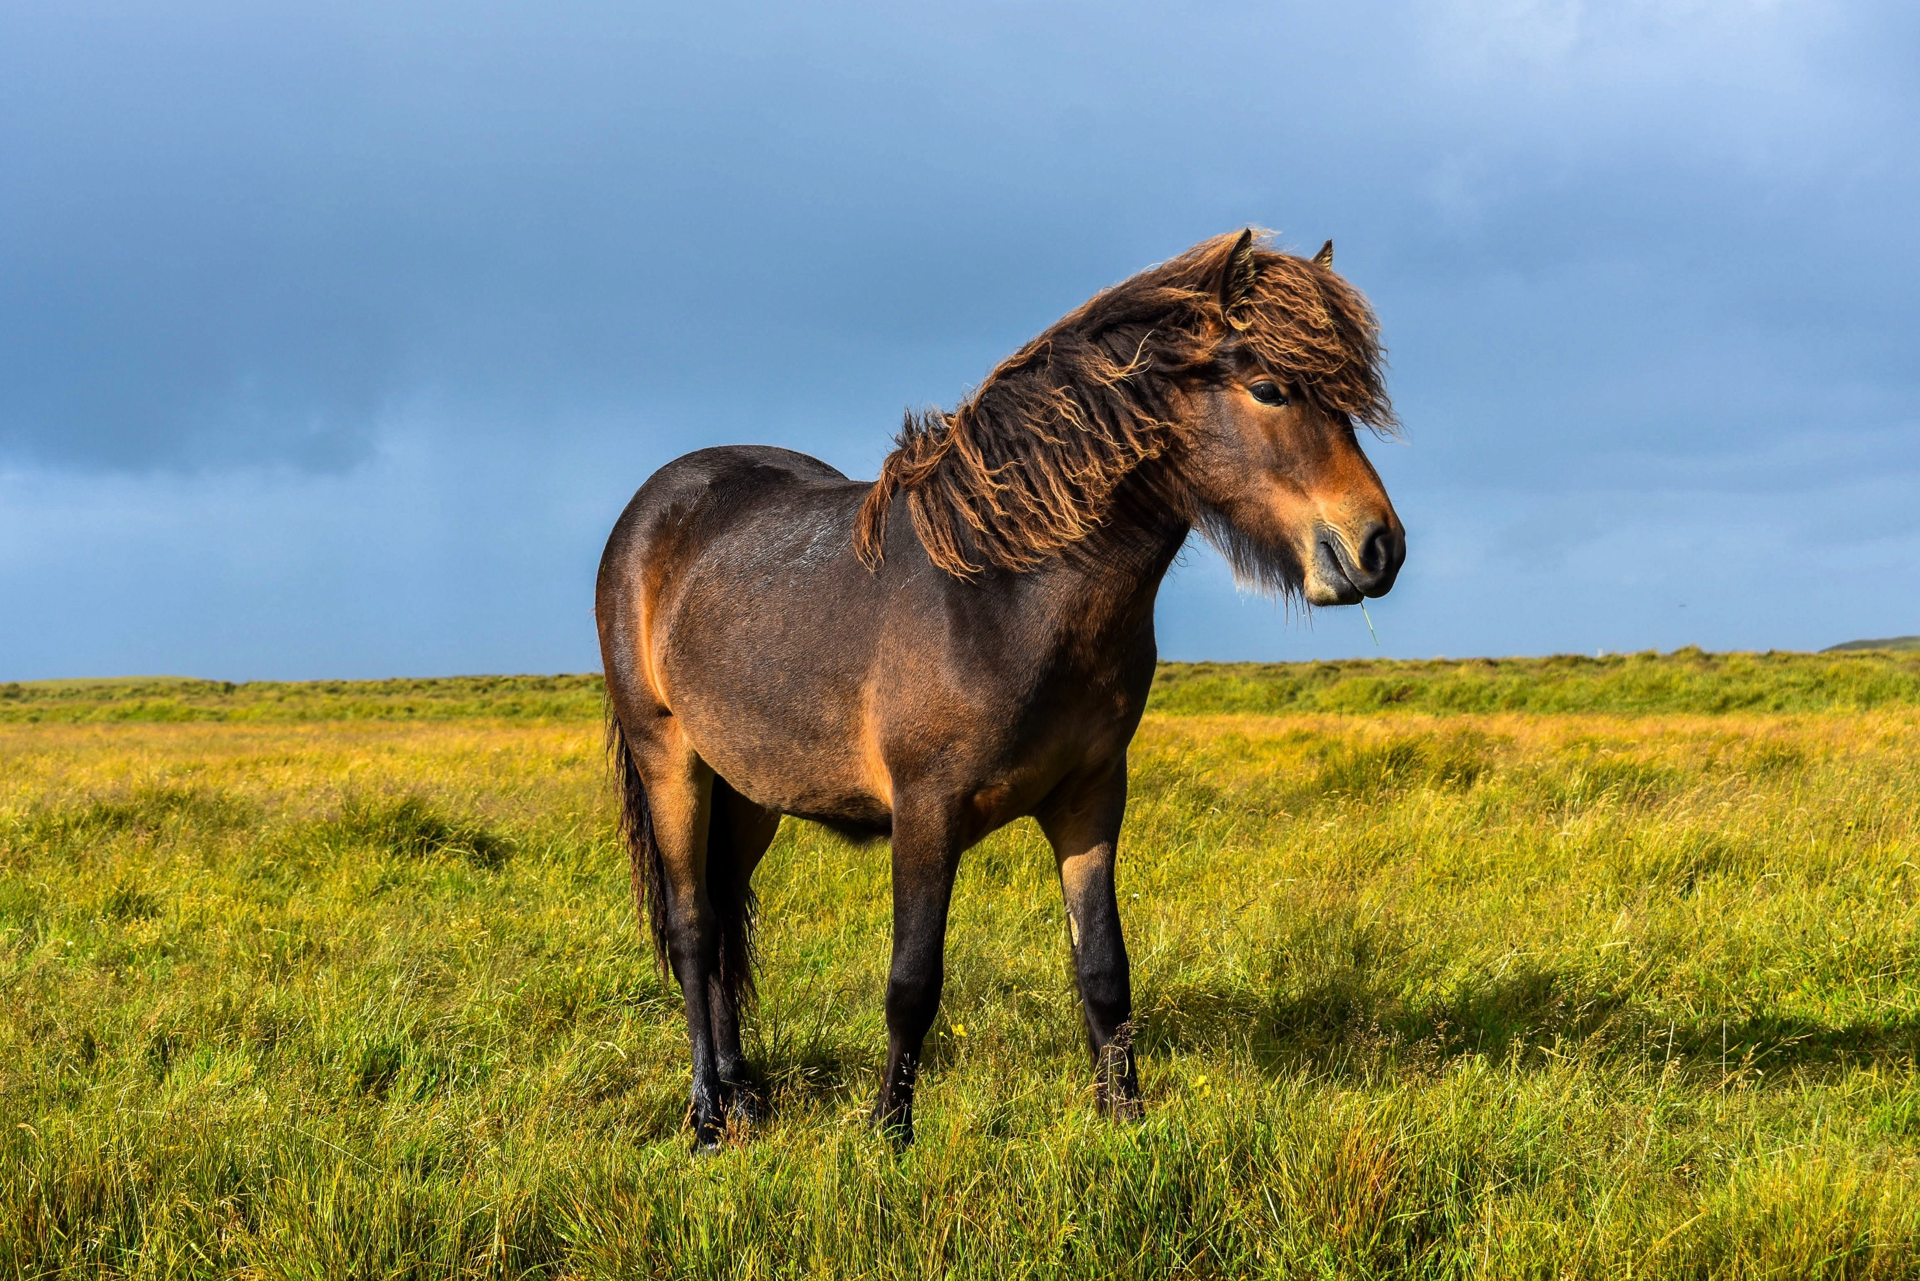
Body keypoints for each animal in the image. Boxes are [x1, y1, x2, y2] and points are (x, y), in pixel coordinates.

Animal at [596, 229, 1405, 1148]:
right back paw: (705, 1112)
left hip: (750, 788)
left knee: (728, 913)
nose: (1379, 546)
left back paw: (745, 1093)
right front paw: (890, 1131)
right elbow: (912, 979)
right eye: (1269, 388)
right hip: (671, 758)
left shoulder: (1091, 799)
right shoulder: (926, 812)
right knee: (695, 926)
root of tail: (652, 511)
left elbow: (1104, 969)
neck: (1006, 592)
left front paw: (1126, 1118)